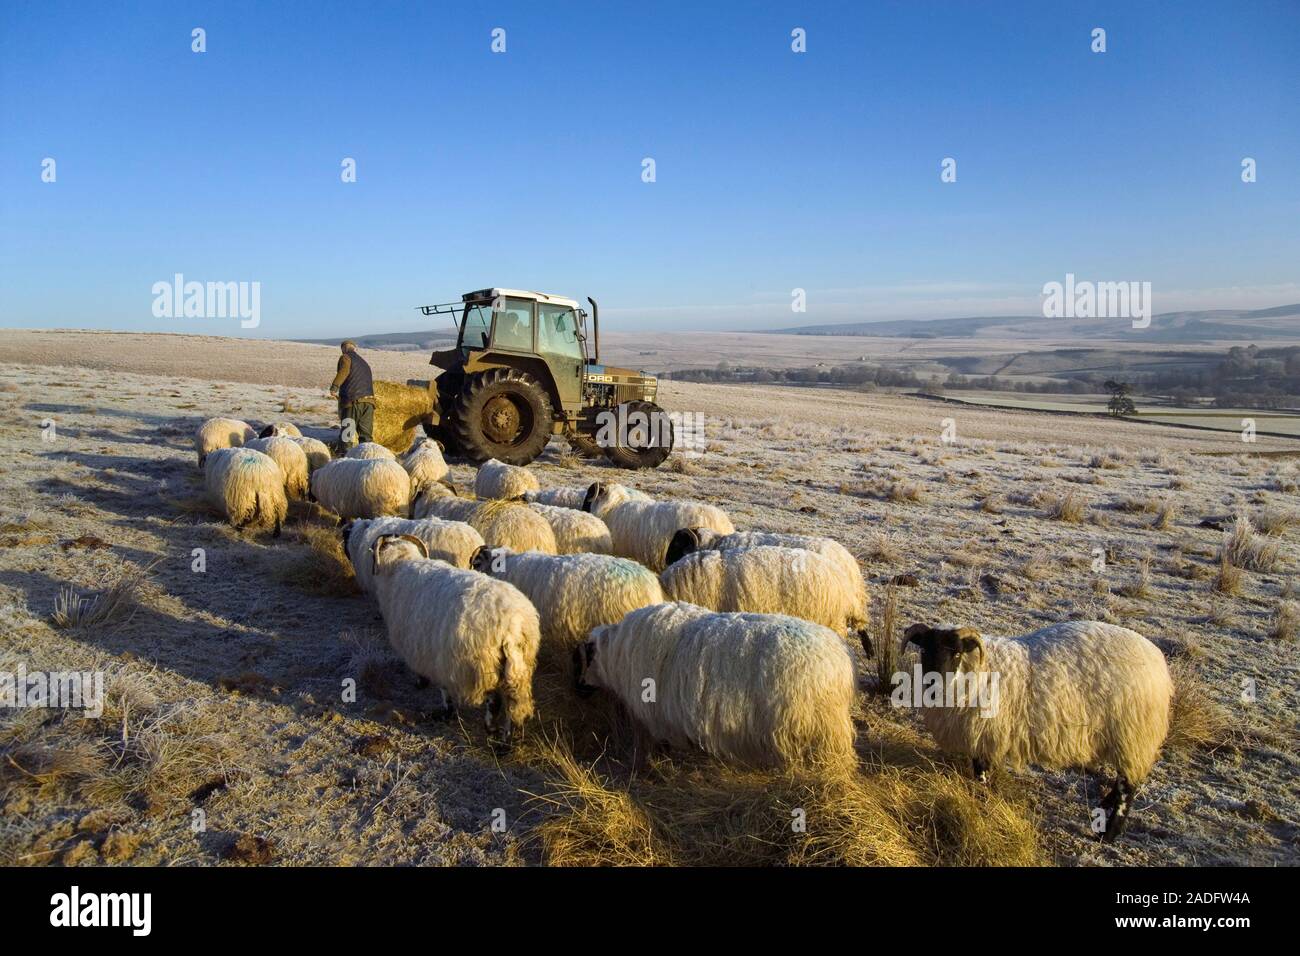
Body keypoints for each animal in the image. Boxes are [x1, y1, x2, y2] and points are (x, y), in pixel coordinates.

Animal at [371, 534, 540, 746]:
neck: (400, 564)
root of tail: (512, 624)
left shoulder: (432, 654)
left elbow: (443, 688)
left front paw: (442, 706)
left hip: (484, 665)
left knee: (495, 702)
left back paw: (491, 730)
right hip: (518, 665)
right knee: (510, 702)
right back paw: (506, 741)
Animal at [574, 602, 856, 770]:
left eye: (584, 659)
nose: (579, 689)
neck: (617, 655)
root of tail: (840, 660)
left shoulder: (662, 718)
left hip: (811, 728)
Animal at [901, 619, 1173, 841]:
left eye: (956, 653)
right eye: (924, 650)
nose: (933, 688)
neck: (978, 671)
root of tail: (1158, 661)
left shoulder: (985, 734)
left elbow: (981, 771)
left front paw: (980, 796)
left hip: (1132, 735)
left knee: (1128, 787)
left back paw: (1108, 835)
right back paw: (1106, 802)